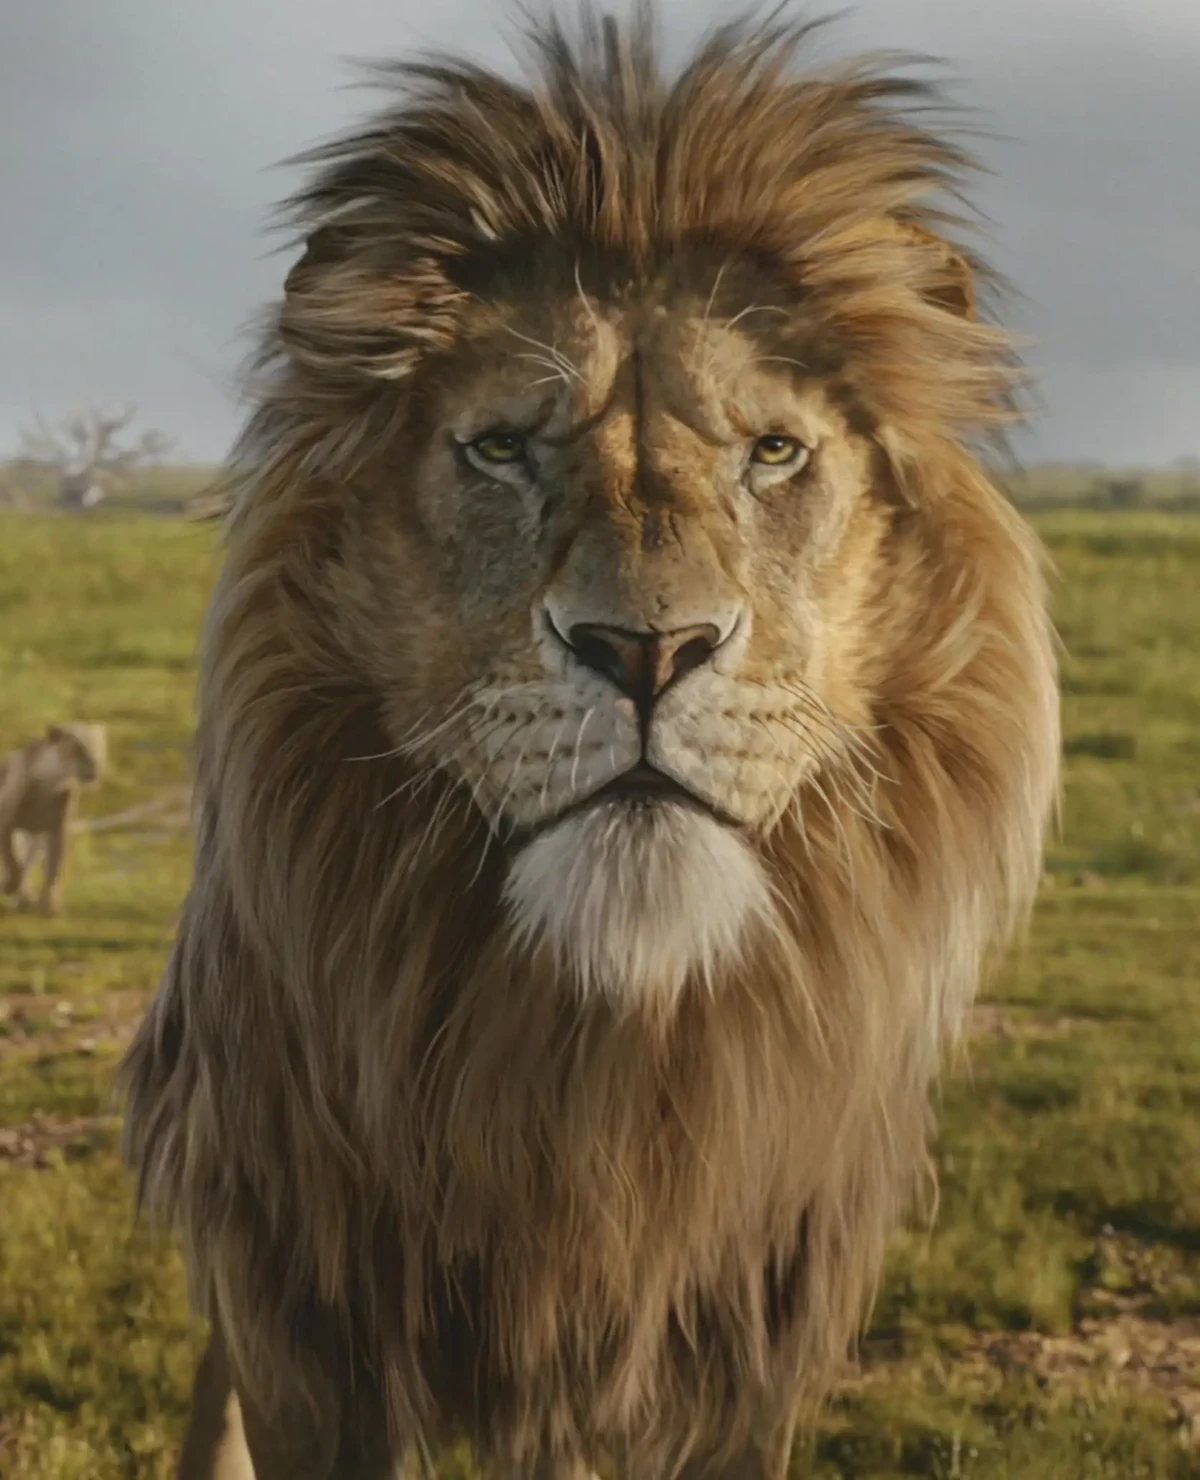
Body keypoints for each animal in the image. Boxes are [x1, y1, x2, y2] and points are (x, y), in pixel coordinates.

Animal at [1, 722, 107, 916]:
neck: (51, 781)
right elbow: (11, 860)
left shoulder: (58, 828)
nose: (96, 767)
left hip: (35, 840)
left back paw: (25, 899)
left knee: (29, 862)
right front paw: (10, 886)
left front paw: (49, 906)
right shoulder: (5, 821)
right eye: (78, 747)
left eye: (98, 748)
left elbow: (53, 868)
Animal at [119, 10, 1060, 1479]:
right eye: (503, 448)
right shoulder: (314, 1314)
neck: (599, 1048)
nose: (646, 652)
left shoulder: (731, 1356)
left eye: (773, 452)